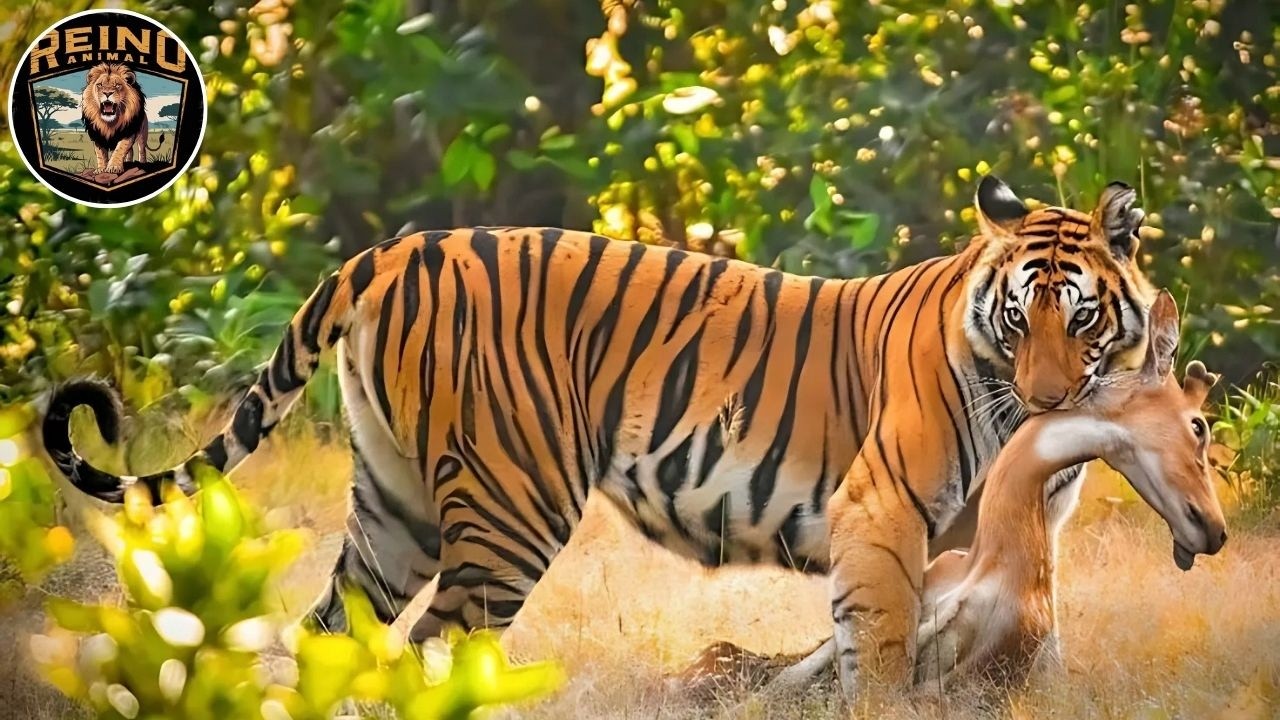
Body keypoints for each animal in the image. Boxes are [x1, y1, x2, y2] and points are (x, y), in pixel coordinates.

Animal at [42, 176, 1154, 699]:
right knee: (433, 648)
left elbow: (1022, 628)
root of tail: (394, 248)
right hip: (509, 509)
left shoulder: (1010, 532)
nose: (1048, 398)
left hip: (395, 507)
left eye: (1081, 318)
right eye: (1019, 316)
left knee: (334, 630)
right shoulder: (882, 512)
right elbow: (876, 647)